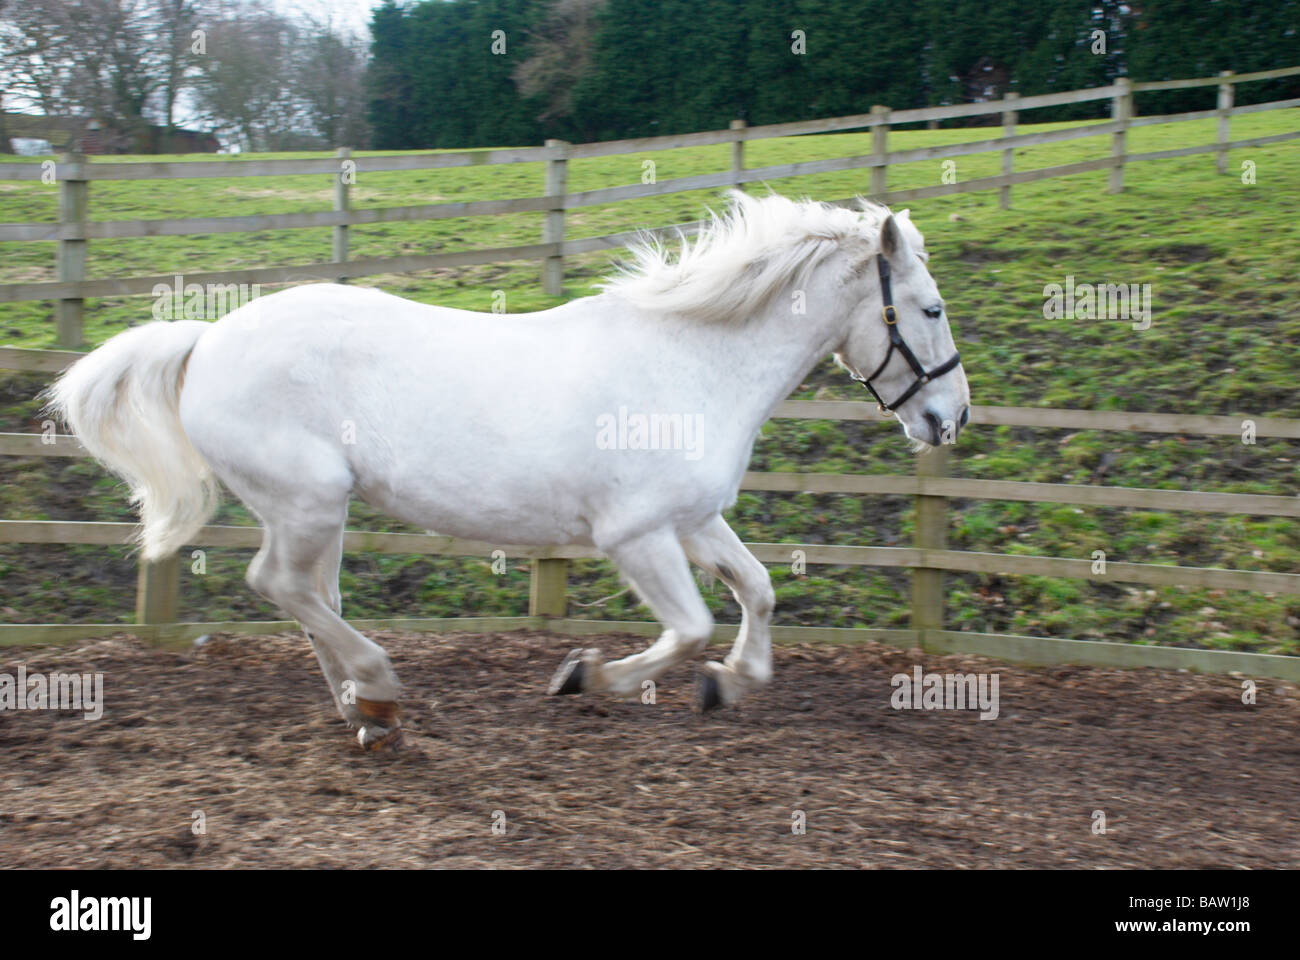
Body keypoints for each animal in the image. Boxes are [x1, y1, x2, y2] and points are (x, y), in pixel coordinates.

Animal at [49, 191, 970, 750]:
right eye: (930, 308)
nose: (949, 419)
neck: (690, 364)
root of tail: (205, 339)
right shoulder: (637, 536)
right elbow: (689, 628)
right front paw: (587, 676)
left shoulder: (695, 520)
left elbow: (760, 591)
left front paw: (730, 686)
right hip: (308, 501)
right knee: (280, 585)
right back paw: (378, 686)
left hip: (318, 510)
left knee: (311, 597)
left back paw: (367, 712)